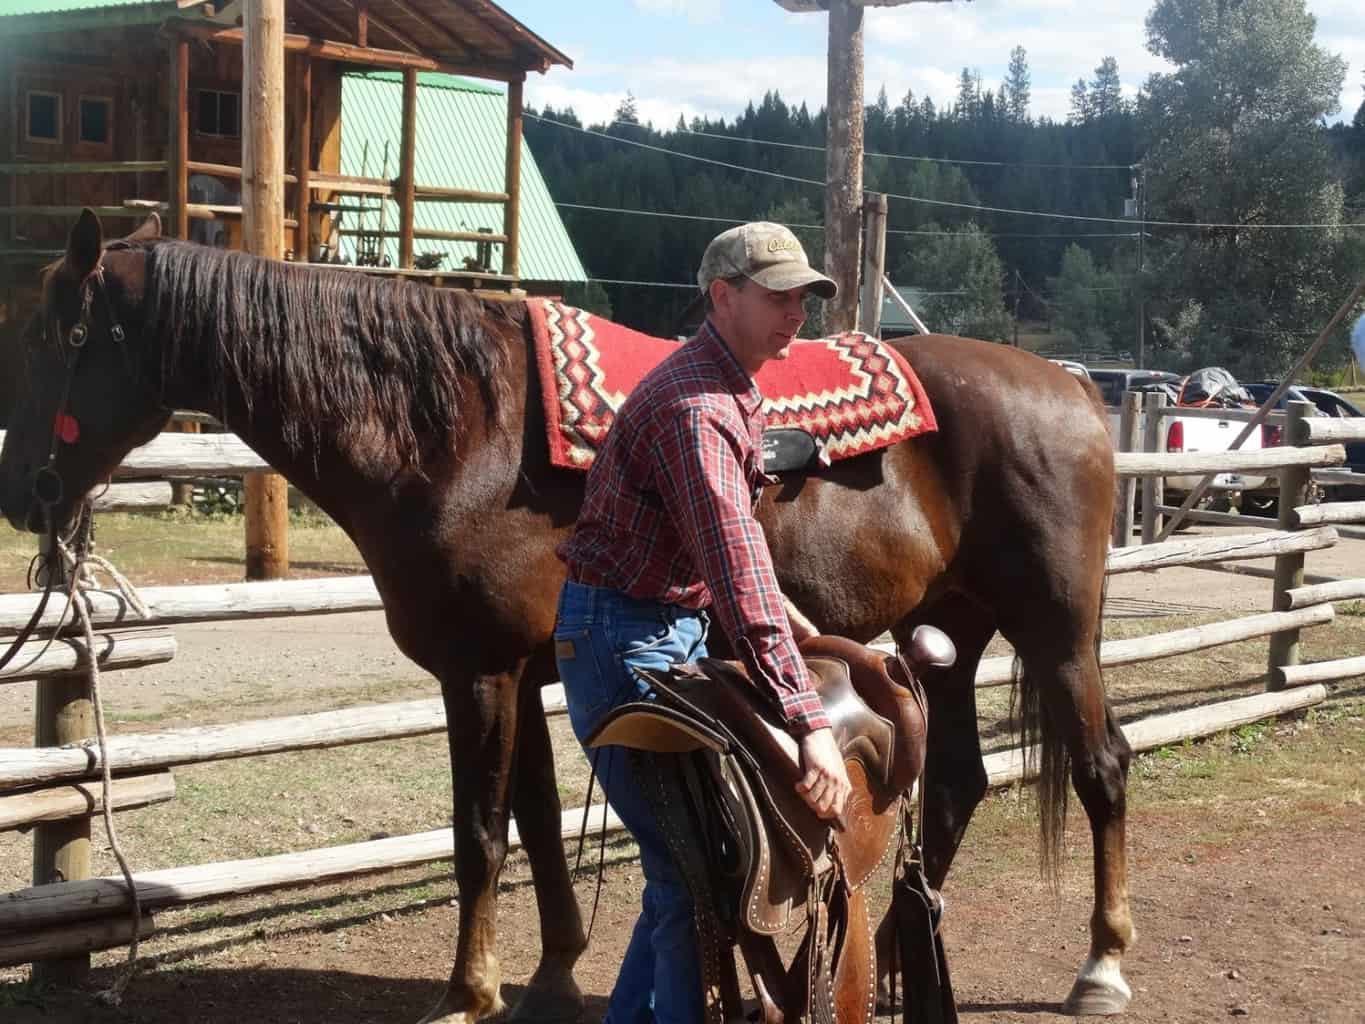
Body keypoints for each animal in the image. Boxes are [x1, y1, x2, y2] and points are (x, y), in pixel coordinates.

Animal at [0, 212, 1133, 1022]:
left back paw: (1101, 964)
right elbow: (539, 825)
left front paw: (467, 994)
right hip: (951, 633)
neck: (456, 428)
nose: (23, 493)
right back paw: (897, 943)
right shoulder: (528, 668)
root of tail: (1074, 387)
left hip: (1056, 630)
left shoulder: (481, 672)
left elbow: (478, 834)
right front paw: (549, 975)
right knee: (955, 781)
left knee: (1100, 766)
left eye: (59, 332)